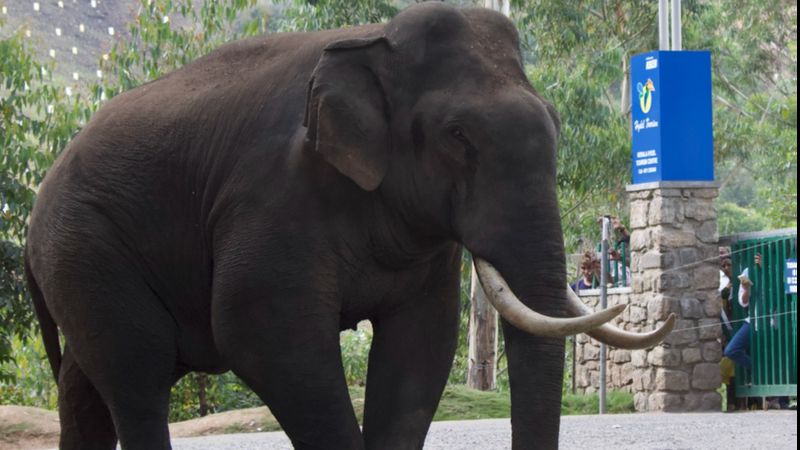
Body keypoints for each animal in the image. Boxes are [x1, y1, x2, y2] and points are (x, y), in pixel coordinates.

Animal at [25, 3, 674, 449]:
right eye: (458, 136)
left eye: (558, 125)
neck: (374, 36)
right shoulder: (273, 196)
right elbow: (262, 333)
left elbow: (420, 346)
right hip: (85, 246)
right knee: (138, 374)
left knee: (85, 386)